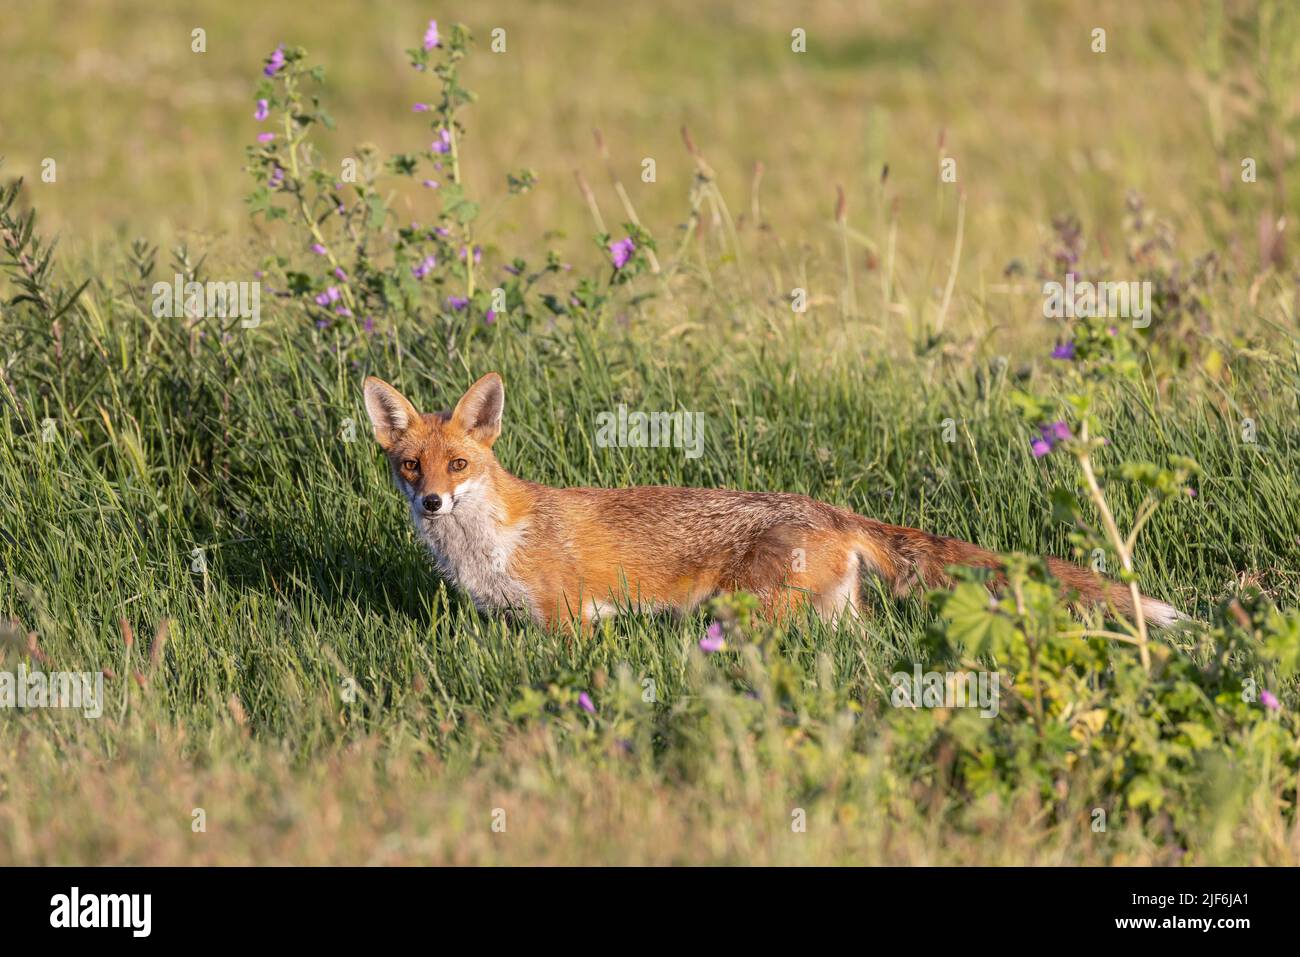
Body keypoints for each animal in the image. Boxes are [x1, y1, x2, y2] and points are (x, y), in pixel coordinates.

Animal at [363, 372, 1186, 631]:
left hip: (744, 610)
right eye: (410, 466)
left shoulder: (570, 620)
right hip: (829, 613)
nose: (432, 502)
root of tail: (831, 509)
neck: (485, 546)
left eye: (459, 464)